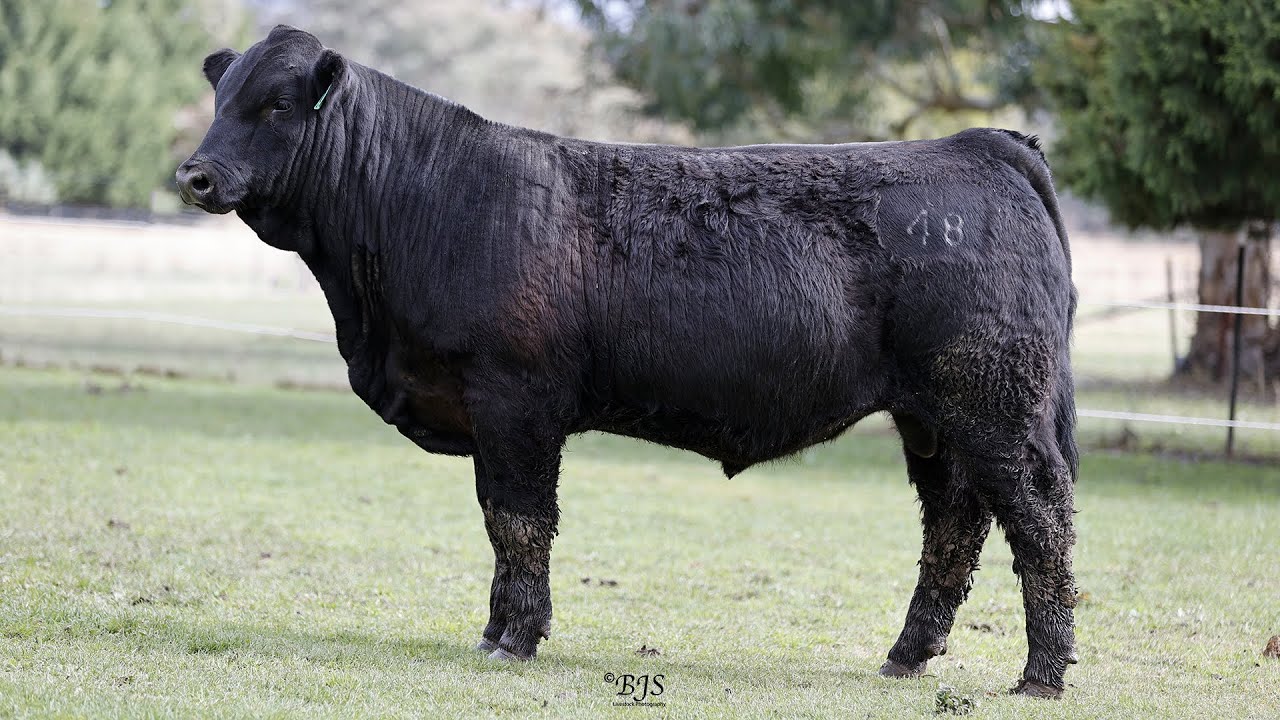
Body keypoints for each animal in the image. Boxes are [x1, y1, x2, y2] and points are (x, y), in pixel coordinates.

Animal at [176, 25, 1080, 698]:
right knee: (955, 525)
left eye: (279, 103)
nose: (195, 173)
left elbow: (517, 520)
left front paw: (513, 638)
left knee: (1041, 521)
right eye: (220, 99)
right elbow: (504, 521)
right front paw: (495, 630)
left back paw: (1041, 675)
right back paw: (906, 656)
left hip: (995, 403)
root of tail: (975, 144)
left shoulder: (514, 400)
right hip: (933, 419)